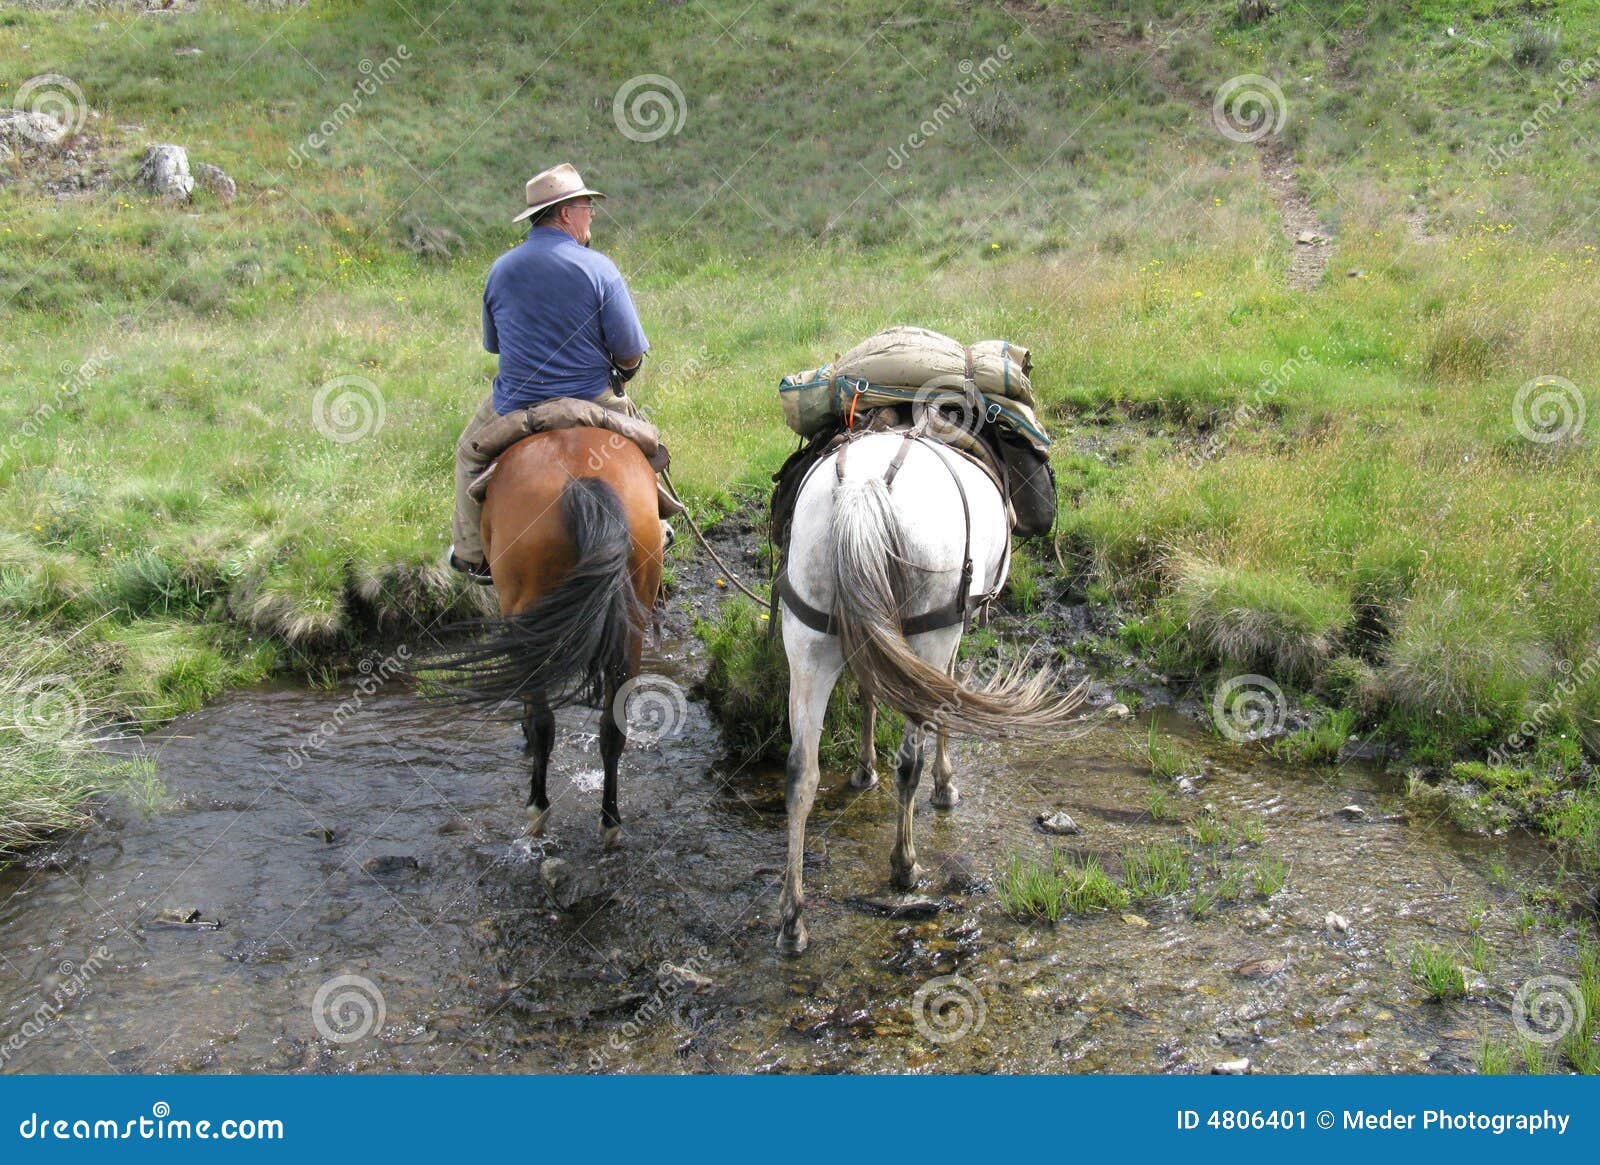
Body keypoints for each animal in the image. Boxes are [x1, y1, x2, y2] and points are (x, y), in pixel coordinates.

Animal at [421, 427, 662, 848]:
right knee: (612, 727)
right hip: (632, 625)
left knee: (543, 723)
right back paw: (609, 822)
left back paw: (537, 812)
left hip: (525, 617)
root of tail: (583, 482)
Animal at [774, 428, 1083, 954]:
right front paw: (946, 784)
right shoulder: (948, 633)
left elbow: (869, 691)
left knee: (801, 774)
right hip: (929, 633)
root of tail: (865, 487)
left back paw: (794, 919)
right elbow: (946, 701)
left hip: (808, 642)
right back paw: (905, 865)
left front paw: (863, 770)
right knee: (908, 764)